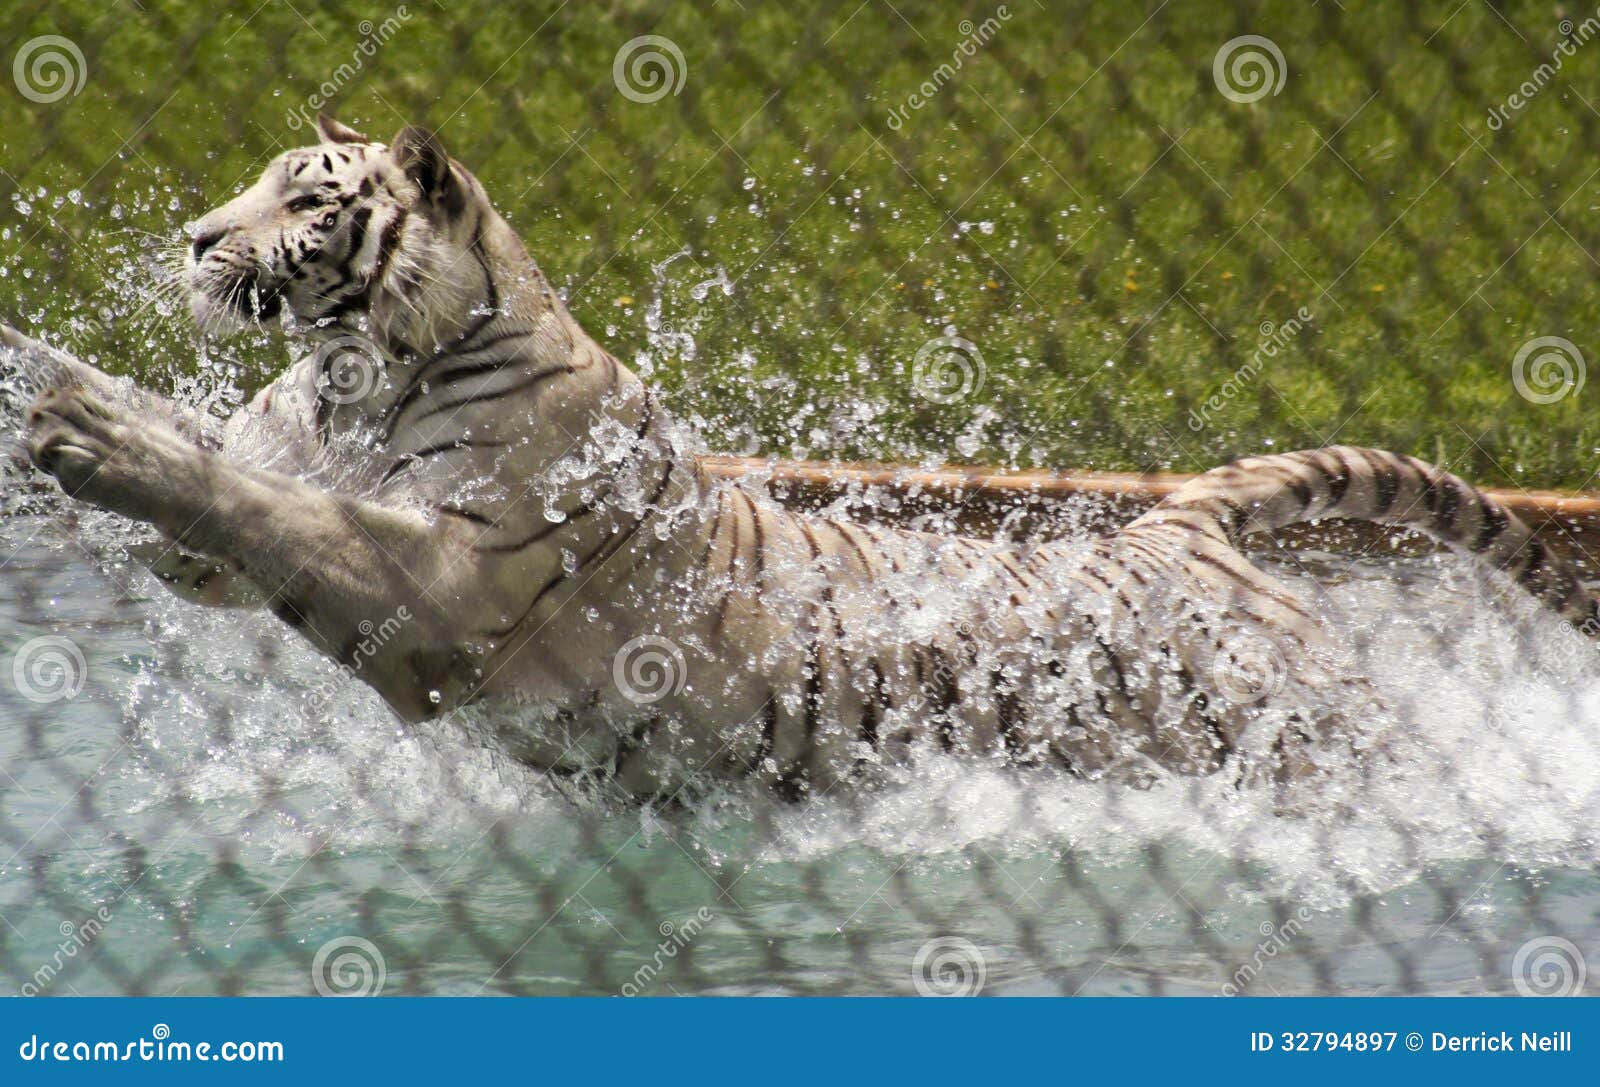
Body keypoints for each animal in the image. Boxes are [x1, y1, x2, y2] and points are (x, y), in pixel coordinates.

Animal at [5, 113, 1596, 801]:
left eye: (305, 196)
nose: (194, 238)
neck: (365, 373)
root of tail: (1176, 527)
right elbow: (228, 477)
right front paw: (61, 381)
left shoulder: (441, 587)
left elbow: (254, 498)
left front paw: (86, 427)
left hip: (1318, 742)